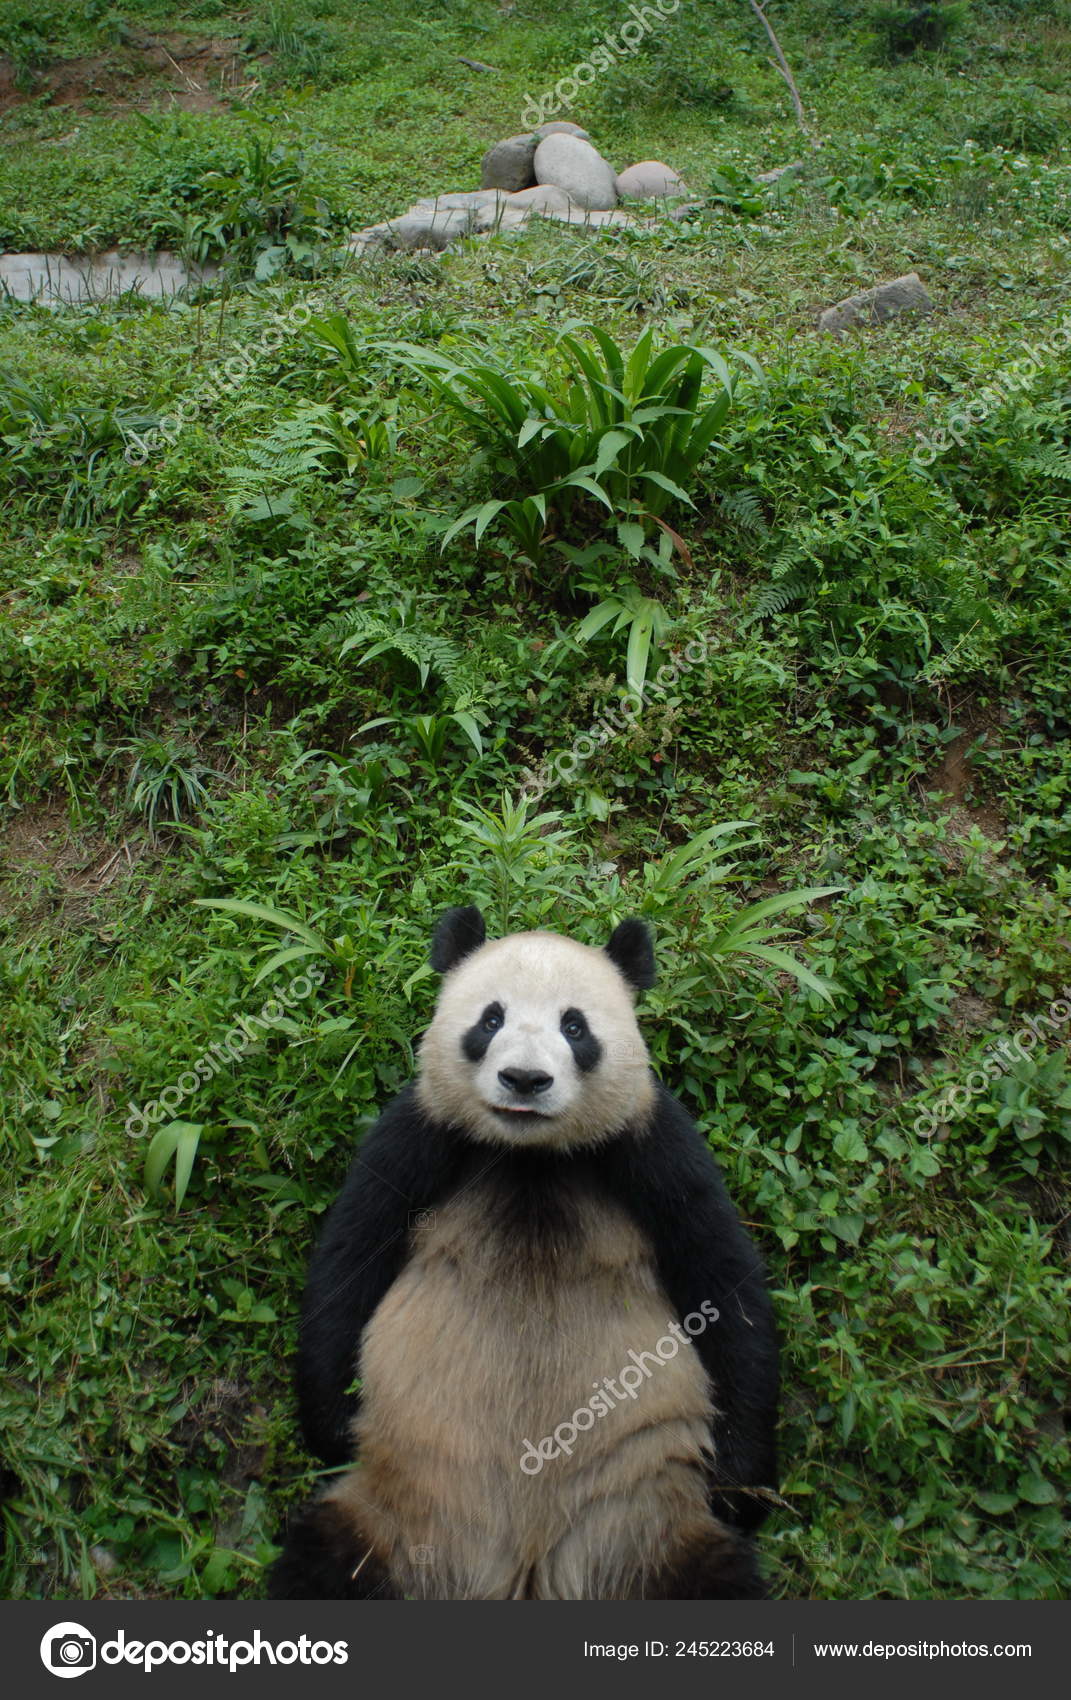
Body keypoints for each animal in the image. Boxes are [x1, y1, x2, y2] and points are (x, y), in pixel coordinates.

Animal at [269, 907, 779, 1601]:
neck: (528, 1157)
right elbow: (350, 1261)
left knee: (711, 1579)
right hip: (400, 1519)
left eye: (575, 1026)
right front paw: (332, 1431)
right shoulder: (422, 1134)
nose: (525, 1080)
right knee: (324, 1566)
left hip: (638, 1525)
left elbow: (720, 1276)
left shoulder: (648, 1142)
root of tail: (523, 1568)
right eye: (491, 1019)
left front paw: (741, 1484)